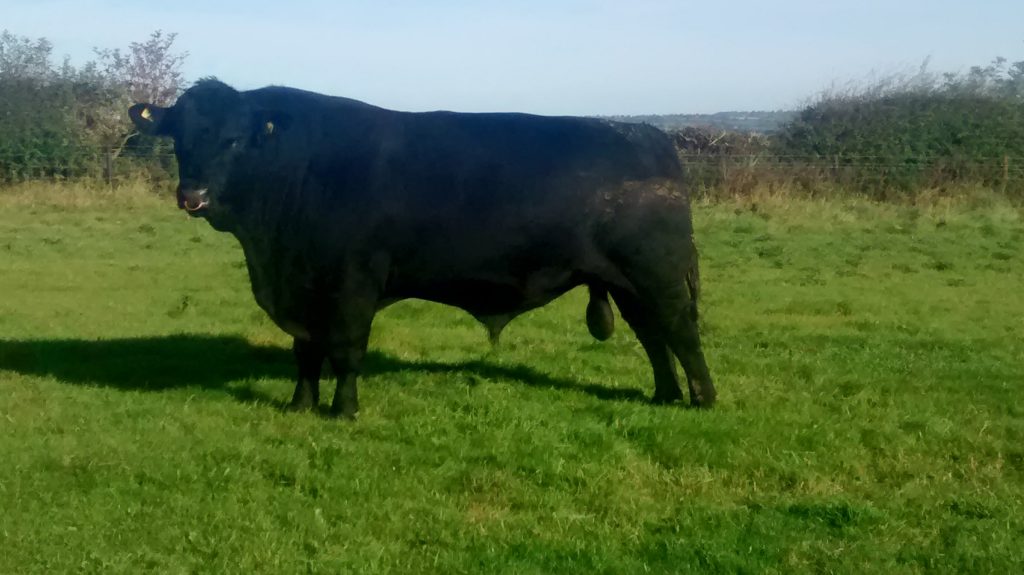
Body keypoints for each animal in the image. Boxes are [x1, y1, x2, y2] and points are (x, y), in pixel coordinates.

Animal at [129, 79, 716, 419]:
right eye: (179, 137)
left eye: (234, 138)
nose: (192, 195)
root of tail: (650, 137)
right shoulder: (305, 287)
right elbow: (306, 352)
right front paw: (299, 405)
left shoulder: (352, 283)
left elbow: (345, 351)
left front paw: (343, 411)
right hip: (627, 282)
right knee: (654, 337)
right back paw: (664, 396)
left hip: (657, 274)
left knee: (681, 333)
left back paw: (702, 399)